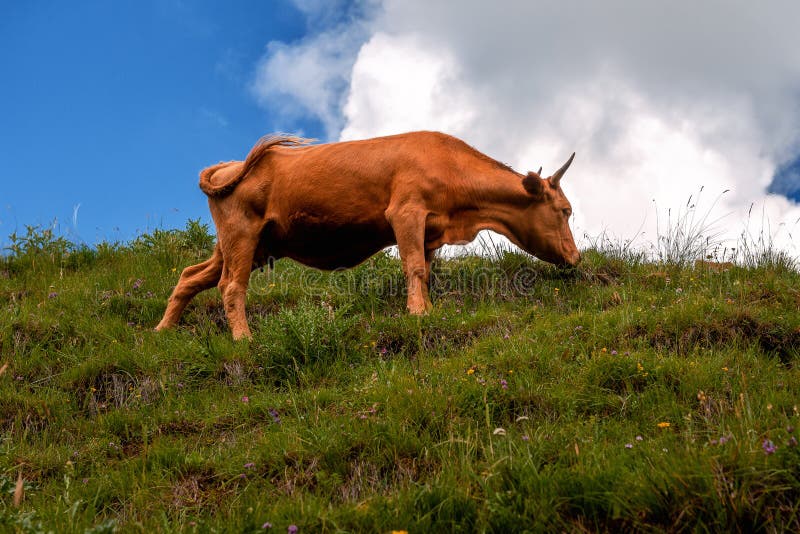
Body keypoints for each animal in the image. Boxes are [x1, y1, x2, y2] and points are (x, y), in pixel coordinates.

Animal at [155, 131, 580, 340]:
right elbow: (414, 268)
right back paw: (243, 339)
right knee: (231, 287)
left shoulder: (429, 231)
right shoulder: (406, 213)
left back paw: (162, 331)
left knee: (190, 276)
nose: (576, 258)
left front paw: (426, 308)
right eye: (565, 211)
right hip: (241, 235)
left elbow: (424, 270)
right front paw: (417, 313)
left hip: (249, 245)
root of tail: (230, 163)